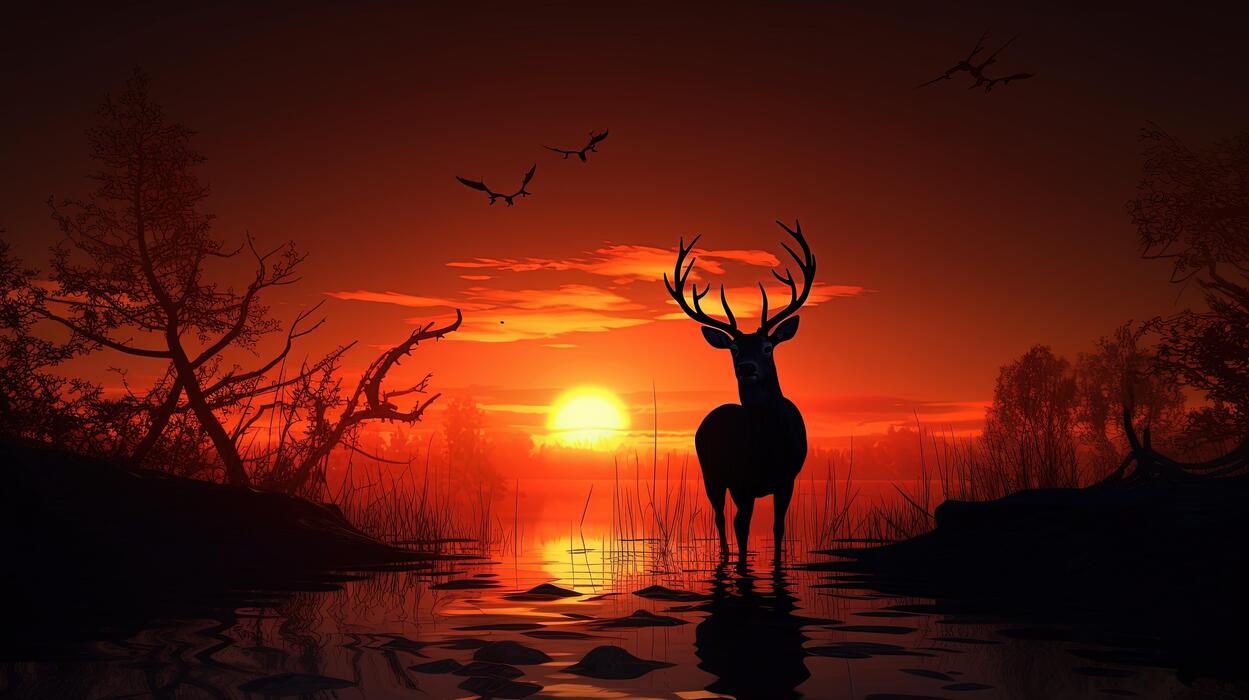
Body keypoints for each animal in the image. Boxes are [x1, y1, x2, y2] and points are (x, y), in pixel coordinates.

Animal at [664, 219, 816, 566]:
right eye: (733, 349)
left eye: (768, 347)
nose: (747, 367)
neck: (766, 450)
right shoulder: (741, 481)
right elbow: (741, 528)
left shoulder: (787, 479)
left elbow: (777, 528)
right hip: (711, 473)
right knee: (722, 518)